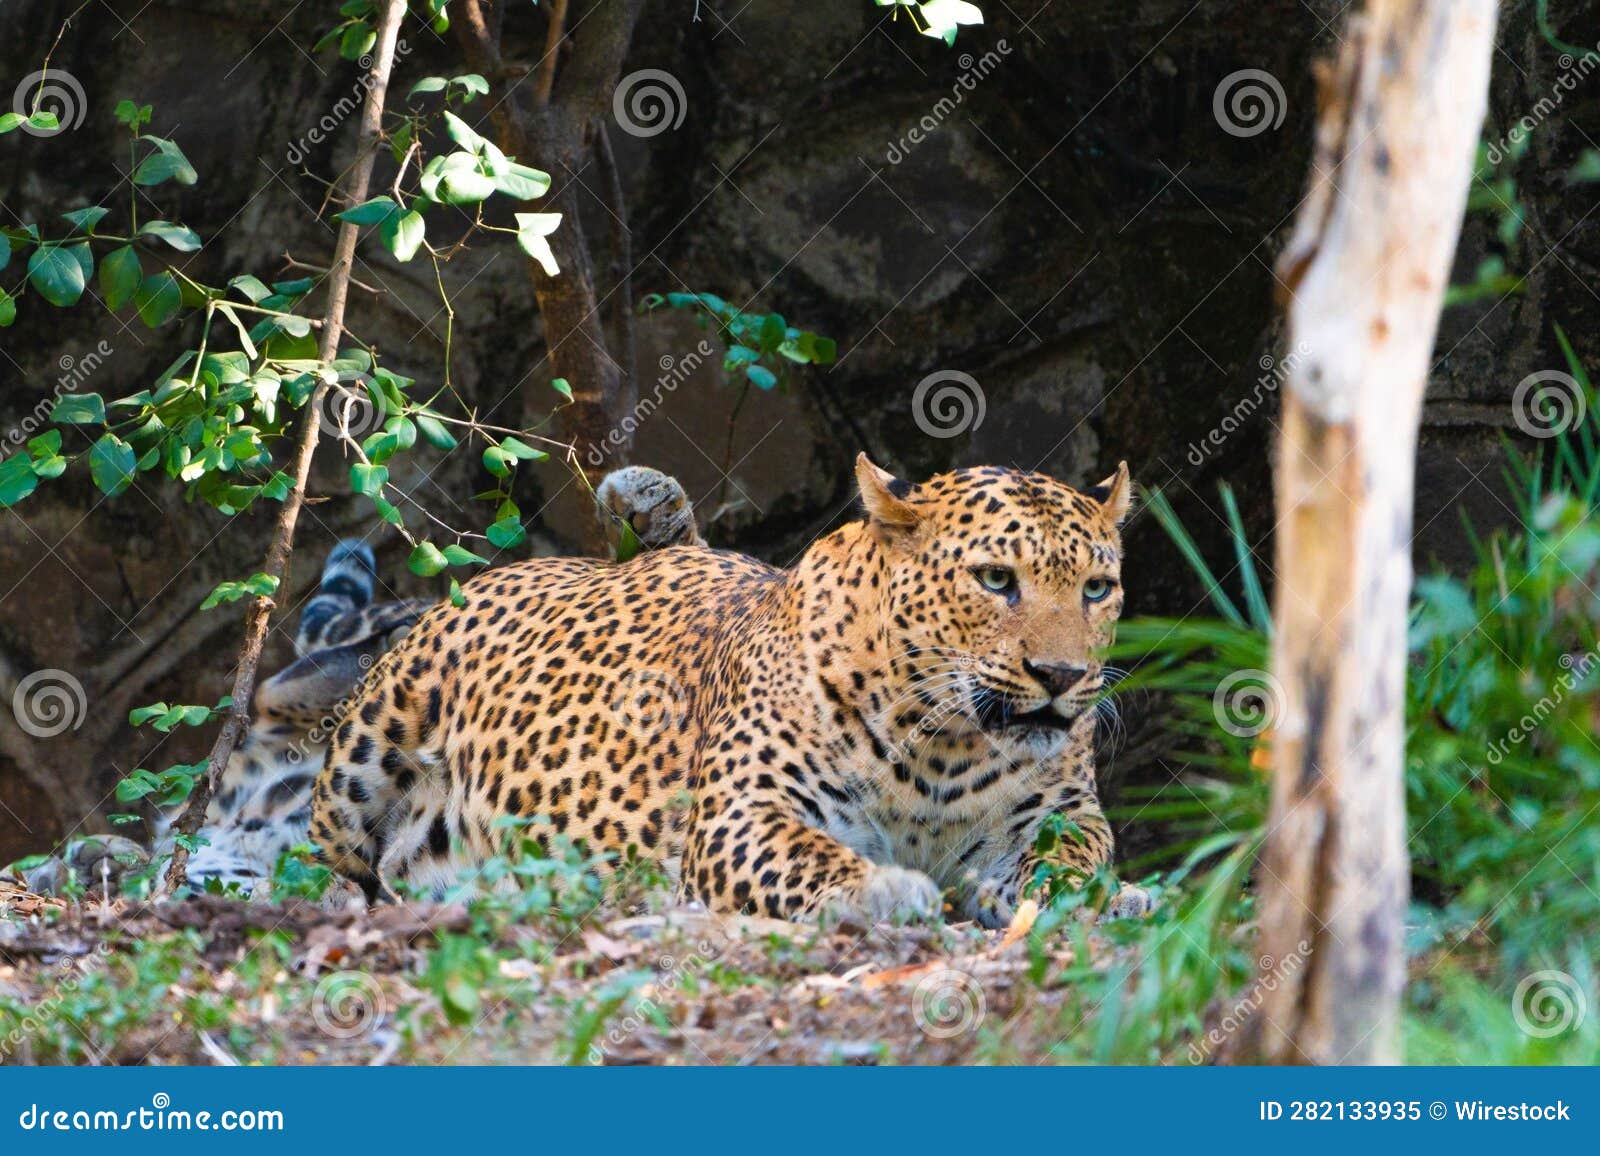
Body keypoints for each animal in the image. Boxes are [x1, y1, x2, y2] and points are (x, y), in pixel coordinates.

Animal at [309, 453, 1152, 928]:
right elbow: (813, 857)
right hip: (370, 743)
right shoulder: (742, 815)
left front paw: (1105, 896)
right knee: (324, 852)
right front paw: (884, 889)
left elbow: (1074, 855)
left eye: (1098, 588)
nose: (1062, 677)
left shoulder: (1058, 812)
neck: (945, 743)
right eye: (996, 580)